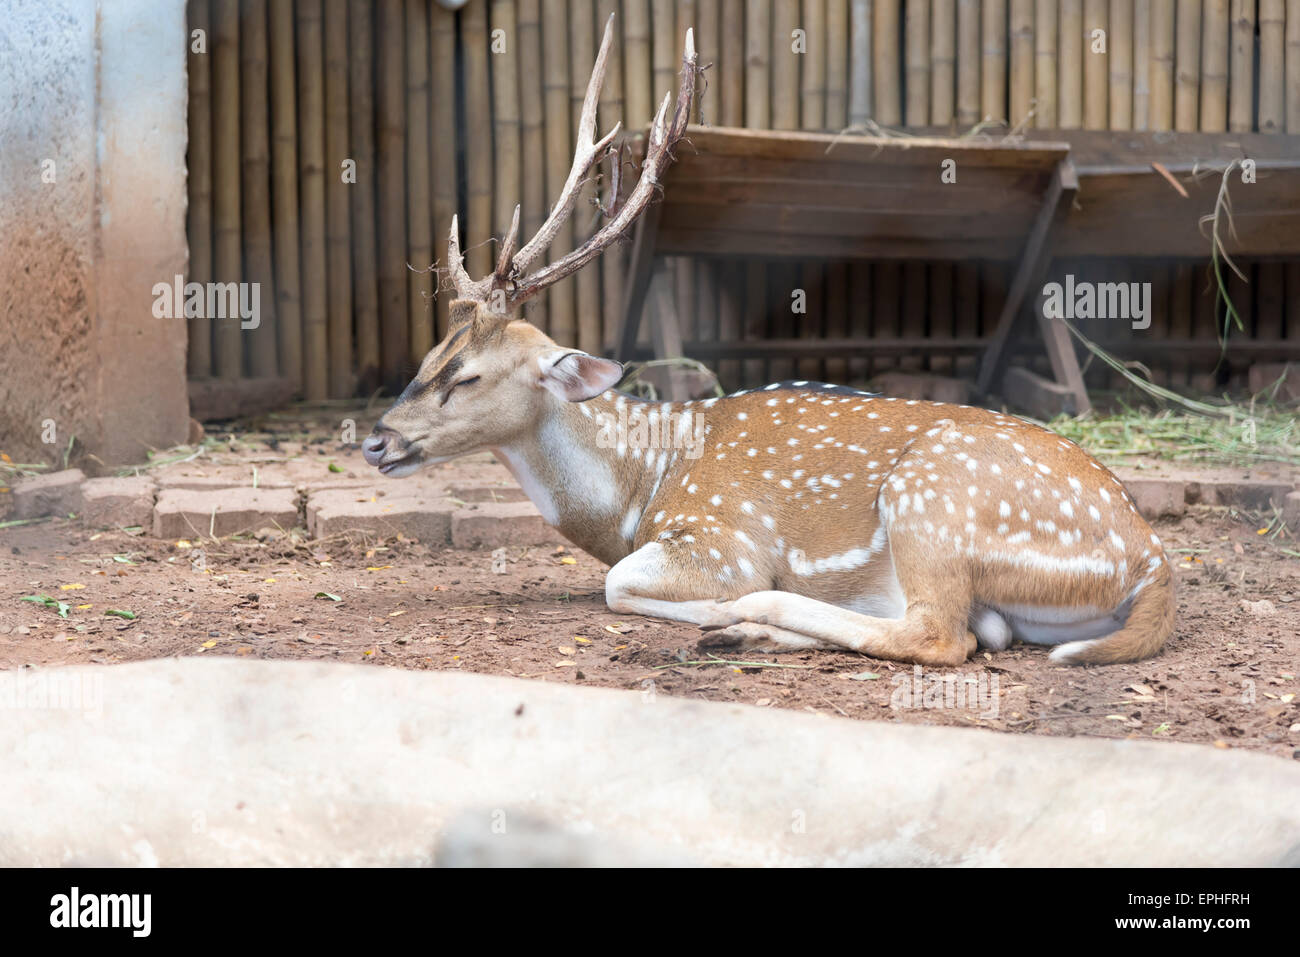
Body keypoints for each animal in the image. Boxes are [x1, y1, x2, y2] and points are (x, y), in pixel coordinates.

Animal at [362, 15, 1175, 667]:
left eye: (468, 374)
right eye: (429, 356)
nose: (375, 440)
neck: (640, 492)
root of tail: (1153, 563)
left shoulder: (721, 537)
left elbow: (617, 583)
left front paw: (716, 606)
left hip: (933, 498)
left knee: (944, 634)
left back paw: (745, 618)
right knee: (983, 631)